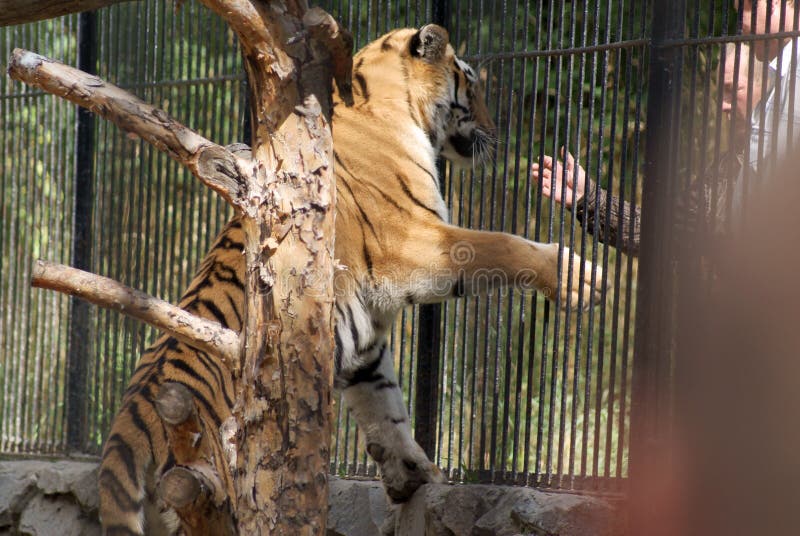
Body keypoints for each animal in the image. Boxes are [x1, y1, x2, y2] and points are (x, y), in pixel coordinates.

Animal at [98, 24, 603, 534]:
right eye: (473, 86)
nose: (496, 132)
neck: (394, 104)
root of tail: (130, 420)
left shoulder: (365, 340)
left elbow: (386, 407)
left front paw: (412, 475)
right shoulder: (414, 241)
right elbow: (500, 244)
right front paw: (579, 278)